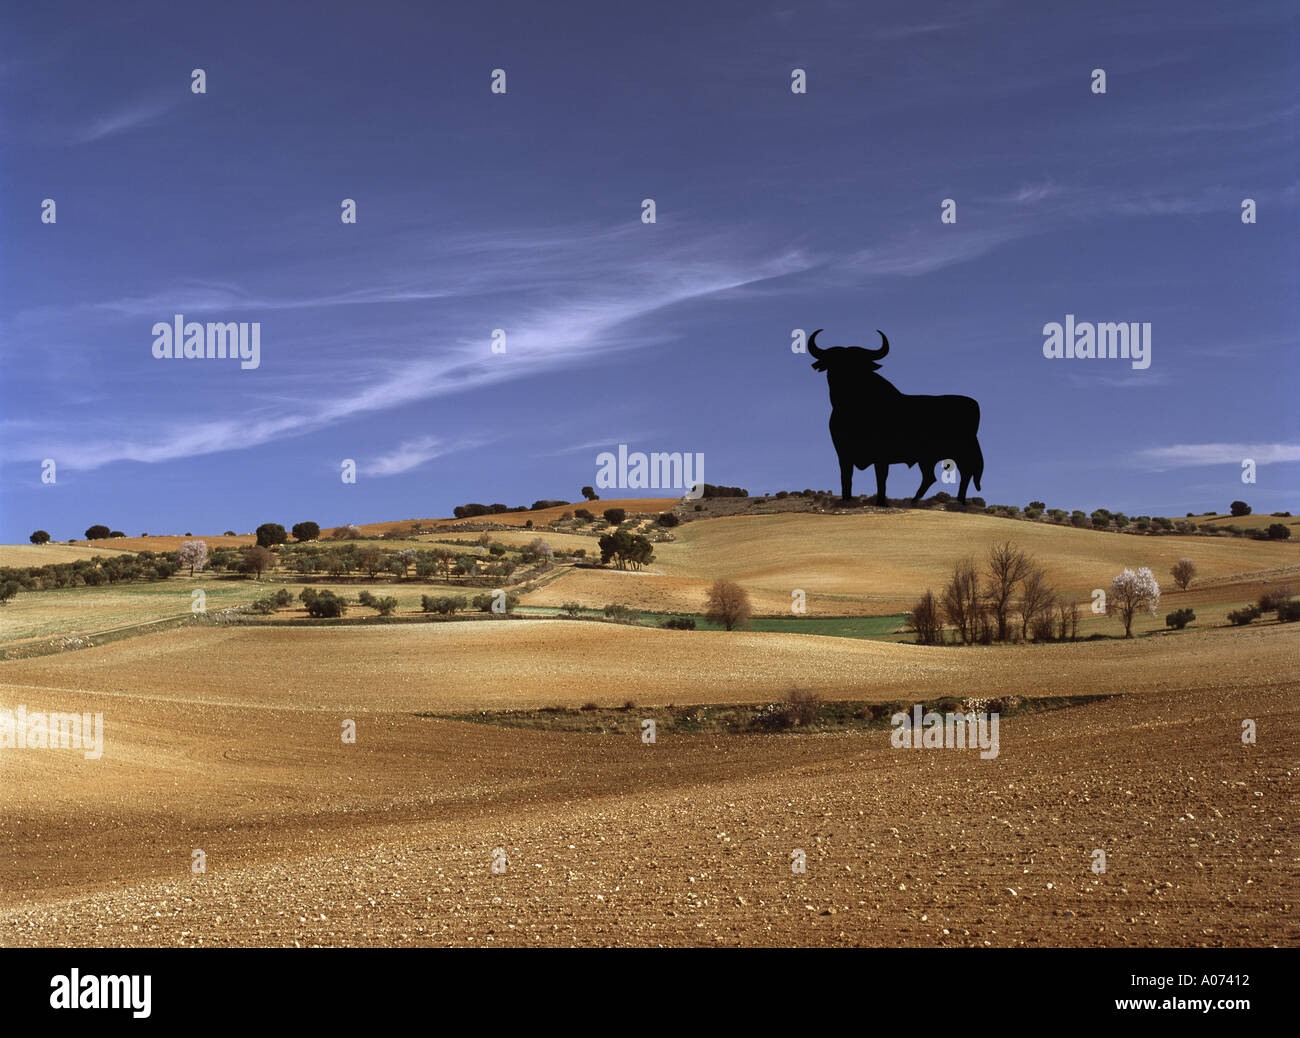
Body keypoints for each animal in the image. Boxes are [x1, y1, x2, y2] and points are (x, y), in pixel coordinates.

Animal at [807, 328, 984, 506]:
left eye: (859, 364)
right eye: (833, 363)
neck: (854, 409)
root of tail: (973, 404)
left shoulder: (881, 455)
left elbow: (881, 478)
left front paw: (881, 502)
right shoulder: (843, 453)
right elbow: (846, 477)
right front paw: (846, 500)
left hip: (961, 450)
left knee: (966, 471)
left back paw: (959, 501)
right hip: (928, 458)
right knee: (931, 477)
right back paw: (916, 500)